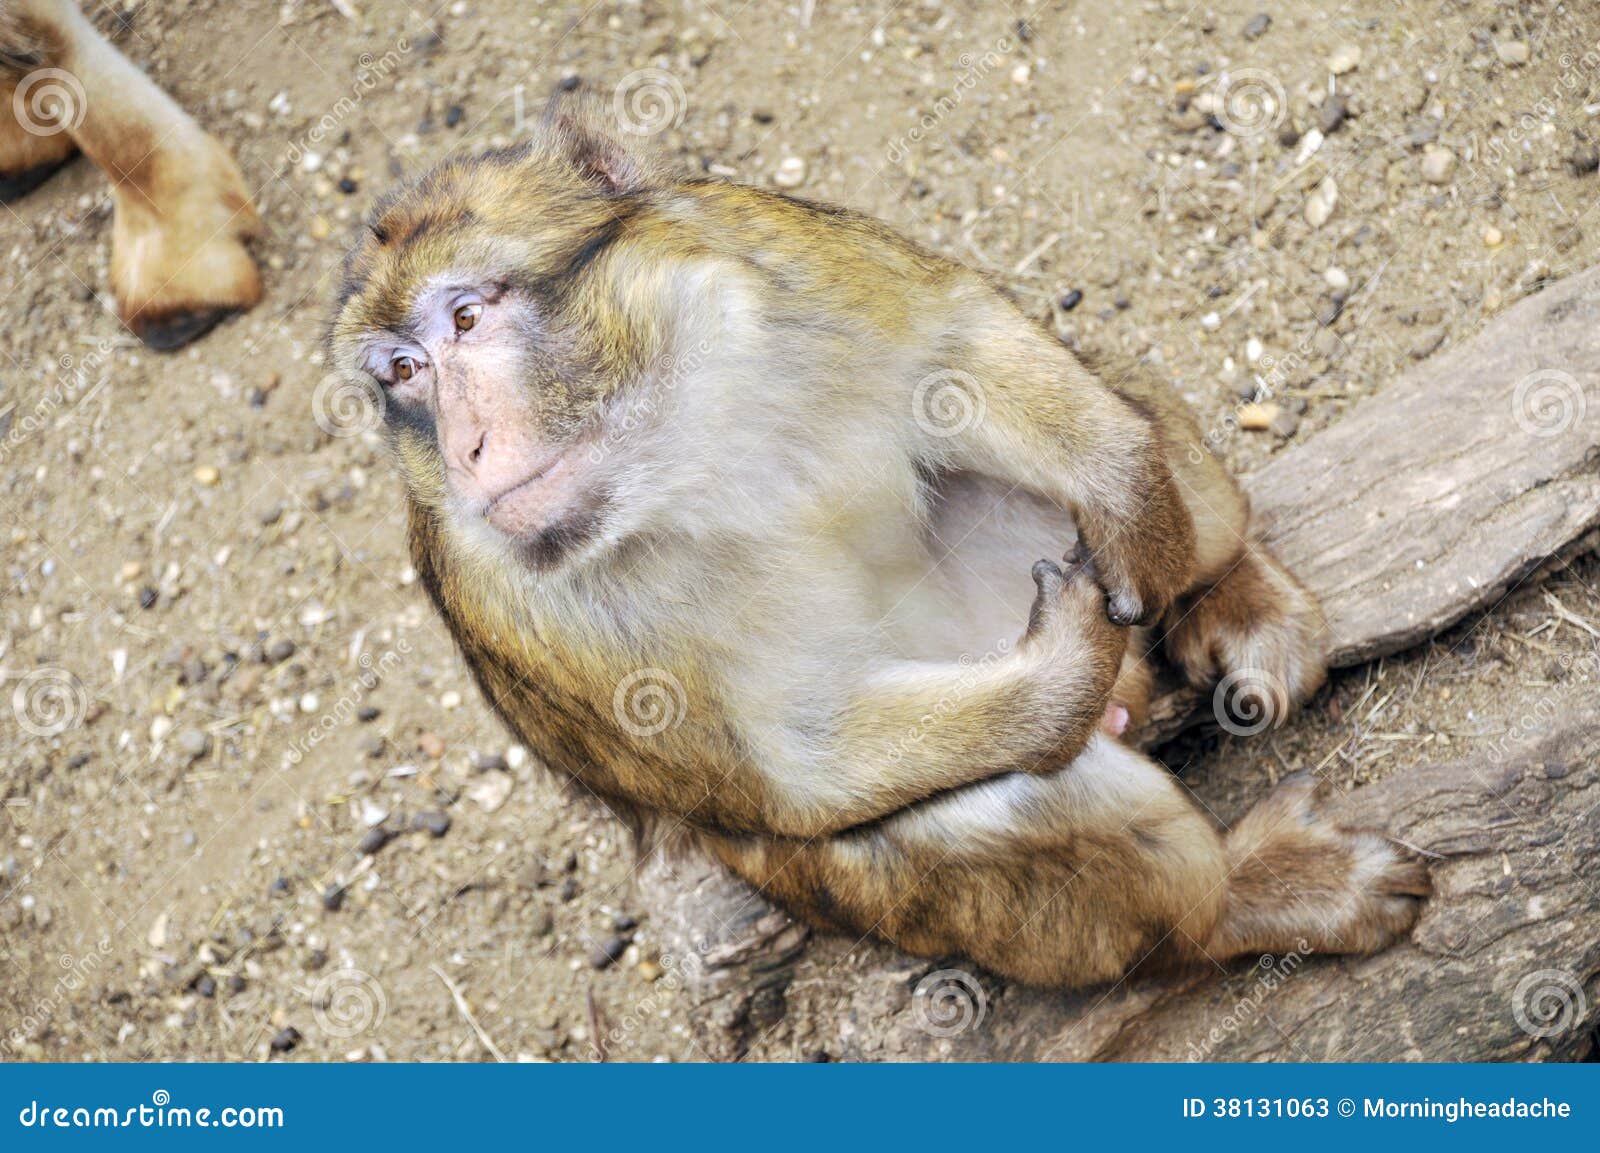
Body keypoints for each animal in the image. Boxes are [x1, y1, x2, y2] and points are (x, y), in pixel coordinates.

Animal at [329, 97, 1428, 989]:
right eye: (402, 373)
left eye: (467, 317)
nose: (465, 448)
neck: (664, 439)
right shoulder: (523, 608)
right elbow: (801, 756)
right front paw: (1057, 670)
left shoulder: (766, 245)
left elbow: (950, 339)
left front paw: (1128, 496)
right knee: (1011, 806)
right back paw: (1236, 900)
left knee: (1125, 415)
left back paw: (1227, 590)